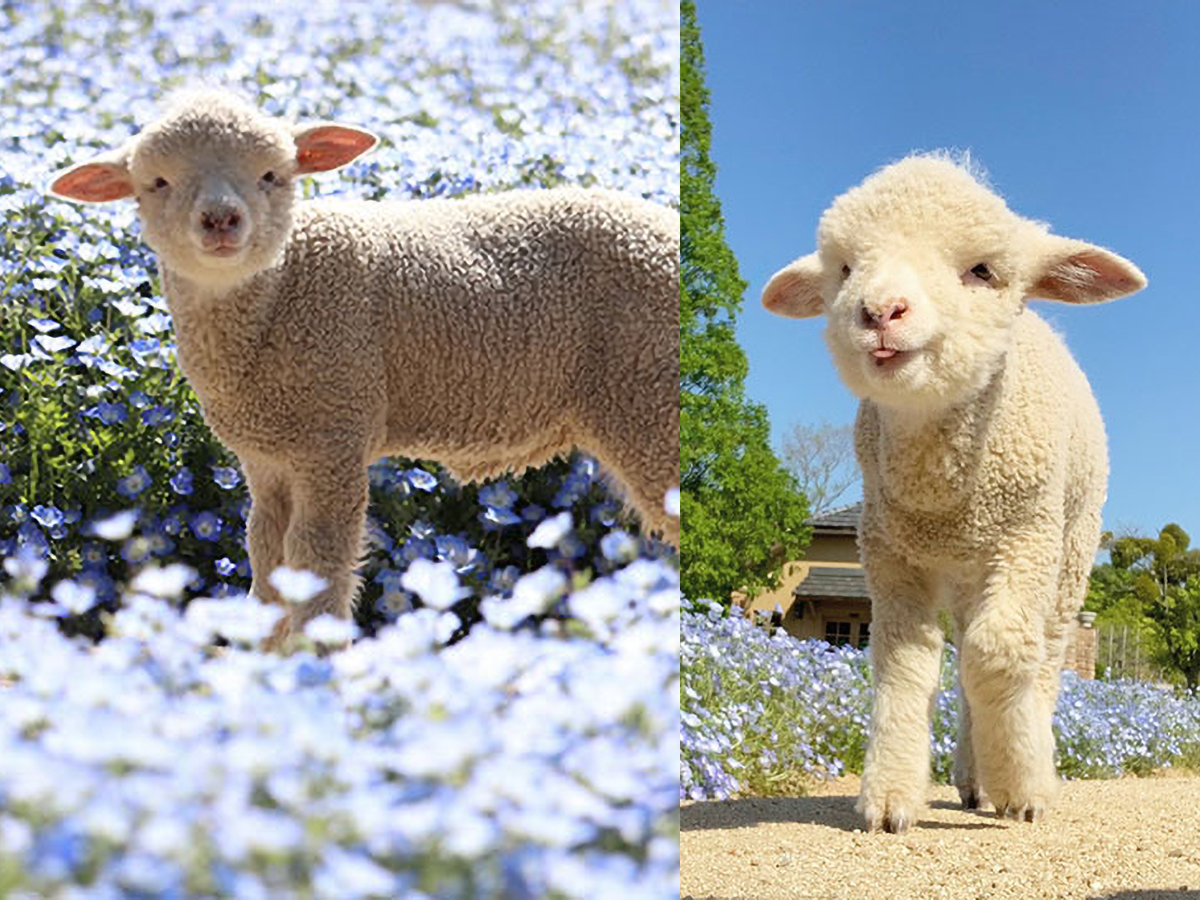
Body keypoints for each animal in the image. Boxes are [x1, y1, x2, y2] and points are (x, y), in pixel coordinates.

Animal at [48, 89, 679, 644]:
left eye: (273, 175)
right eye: (157, 183)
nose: (221, 220)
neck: (281, 291)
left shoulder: (333, 436)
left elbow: (317, 563)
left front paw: (316, 662)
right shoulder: (266, 457)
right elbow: (267, 558)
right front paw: (262, 657)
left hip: (649, 404)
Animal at [762, 154, 1146, 832]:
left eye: (982, 271)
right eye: (844, 269)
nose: (880, 311)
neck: (943, 495)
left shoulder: (1025, 538)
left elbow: (1001, 655)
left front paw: (1020, 783)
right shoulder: (889, 555)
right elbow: (906, 662)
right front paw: (890, 797)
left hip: (1067, 551)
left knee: (1039, 656)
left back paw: (1024, 769)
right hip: (974, 574)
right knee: (969, 654)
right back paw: (972, 778)